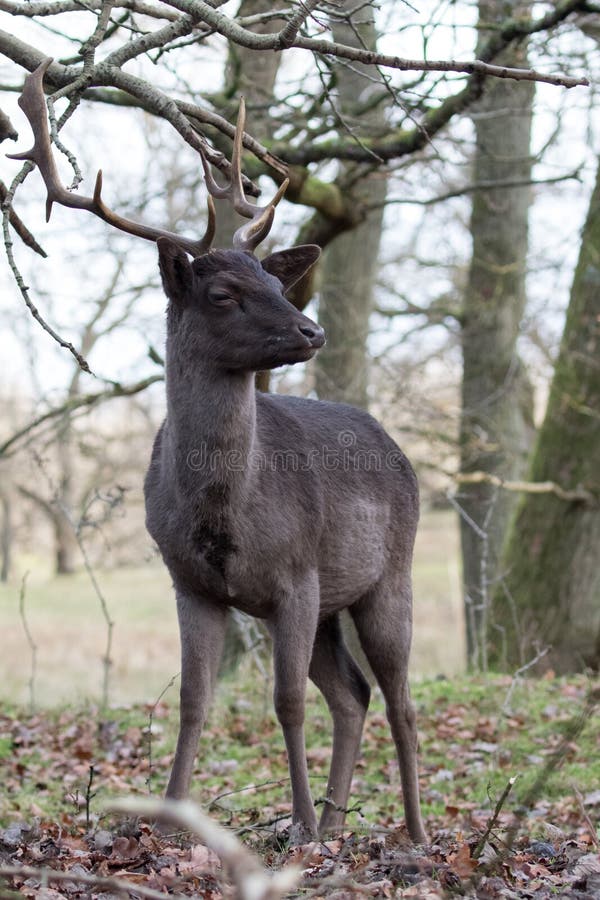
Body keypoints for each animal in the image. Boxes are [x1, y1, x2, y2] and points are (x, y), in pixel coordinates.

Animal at [10, 59, 426, 845]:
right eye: (226, 292)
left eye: (275, 280)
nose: (311, 330)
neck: (225, 508)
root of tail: (401, 450)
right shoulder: (190, 580)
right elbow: (193, 699)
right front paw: (174, 822)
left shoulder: (297, 574)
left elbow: (285, 701)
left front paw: (296, 825)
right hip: (336, 603)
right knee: (353, 694)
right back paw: (337, 823)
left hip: (388, 574)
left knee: (398, 699)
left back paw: (410, 834)